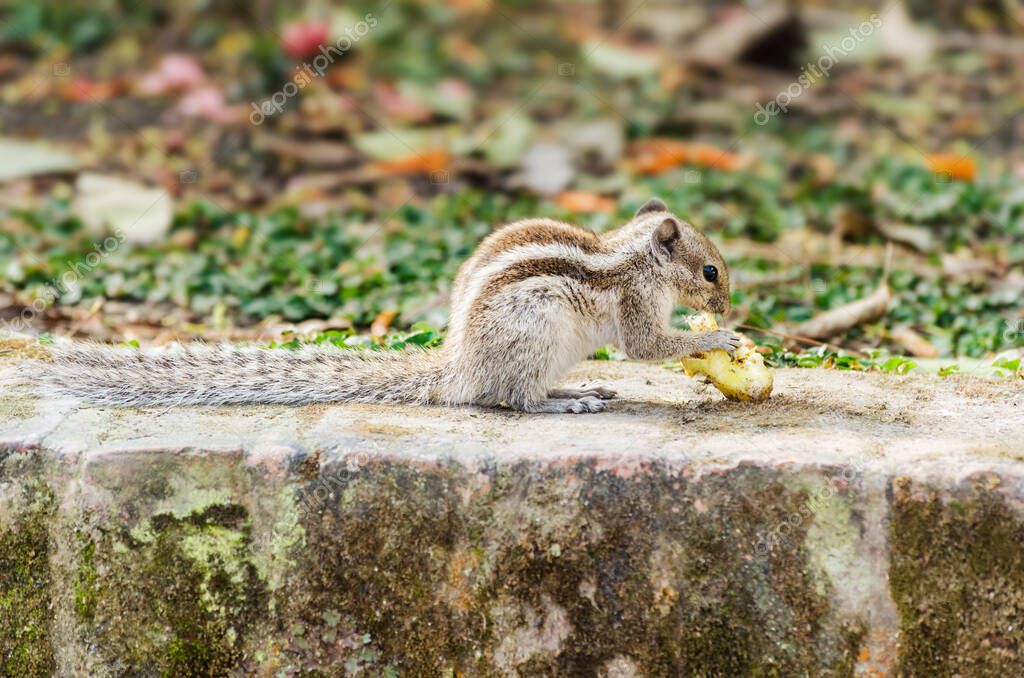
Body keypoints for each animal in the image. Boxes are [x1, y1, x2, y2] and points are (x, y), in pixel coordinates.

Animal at [33, 197, 740, 414]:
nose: (731, 308)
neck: (634, 256)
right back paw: (567, 402)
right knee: (510, 398)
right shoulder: (637, 303)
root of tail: (457, 366)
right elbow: (649, 346)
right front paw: (717, 341)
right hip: (534, 331)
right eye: (710, 271)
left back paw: (578, 389)